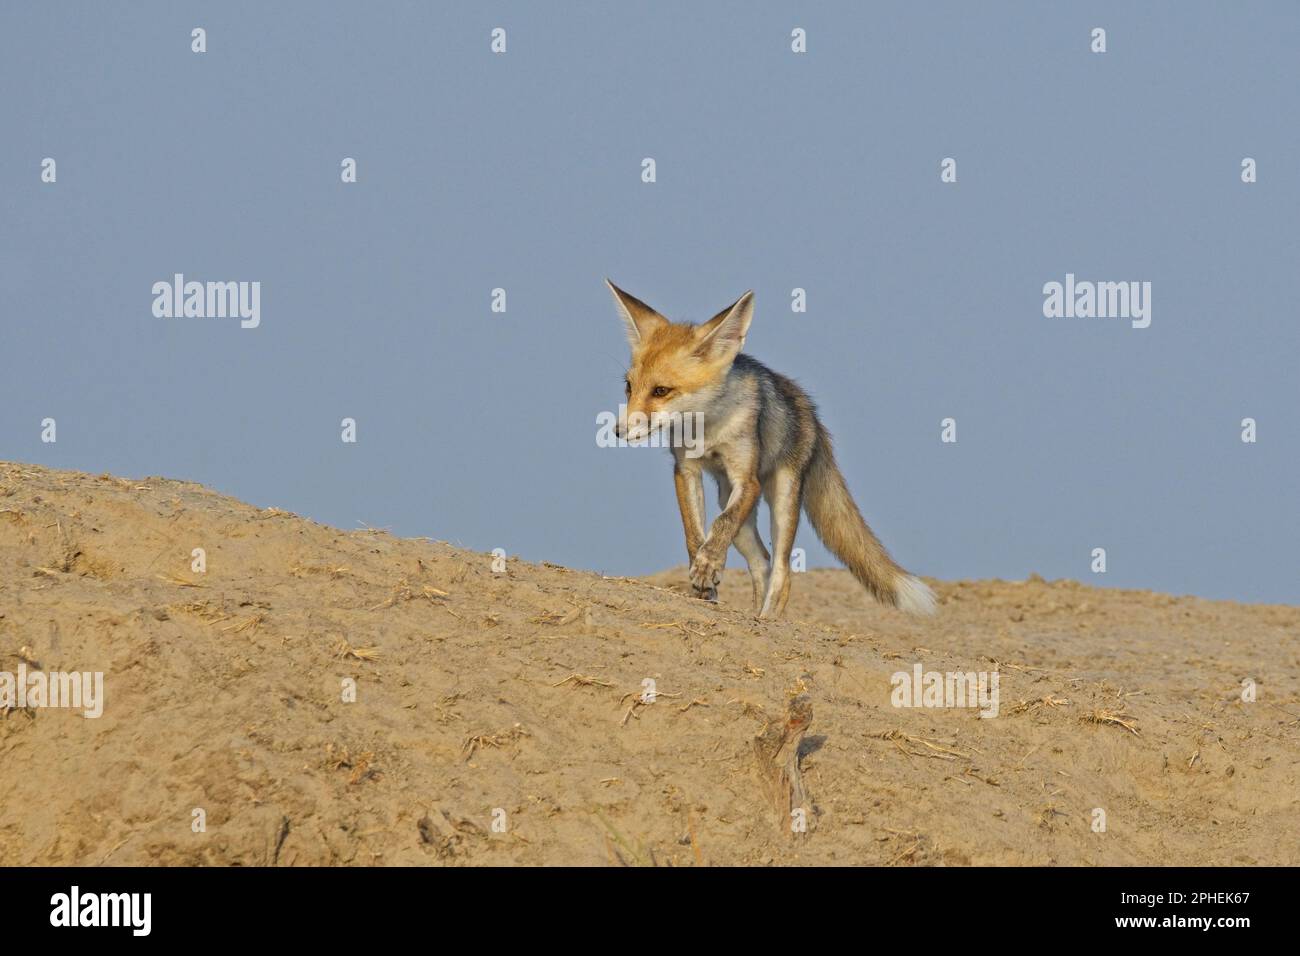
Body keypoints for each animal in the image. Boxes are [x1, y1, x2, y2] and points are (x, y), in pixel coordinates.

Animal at [608, 280, 936, 621]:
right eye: (629, 387)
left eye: (661, 391)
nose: (617, 431)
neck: (708, 430)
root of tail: (810, 411)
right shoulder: (686, 470)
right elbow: (695, 534)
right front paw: (702, 577)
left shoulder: (747, 479)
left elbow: (721, 524)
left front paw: (707, 566)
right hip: (732, 504)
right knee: (761, 563)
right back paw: (754, 615)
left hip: (782, 499)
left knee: (781, 571)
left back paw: (768, 619)